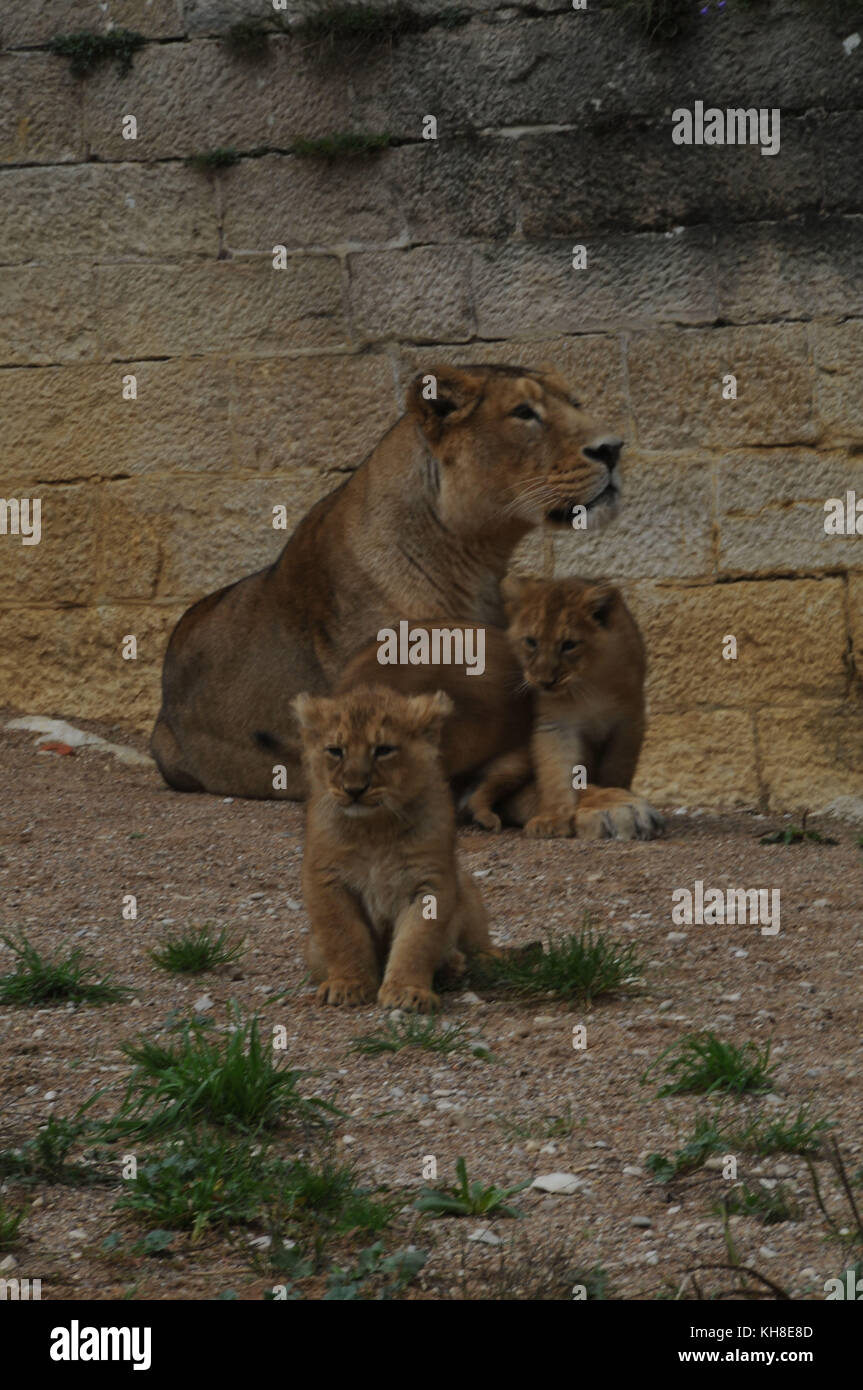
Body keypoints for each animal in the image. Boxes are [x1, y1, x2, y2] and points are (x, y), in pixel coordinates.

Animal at [150, 362, 659, 838]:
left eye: (575, 403)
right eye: (523, 413)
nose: (613, 448)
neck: (473, 561)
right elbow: (537, 776)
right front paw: (611, 805)